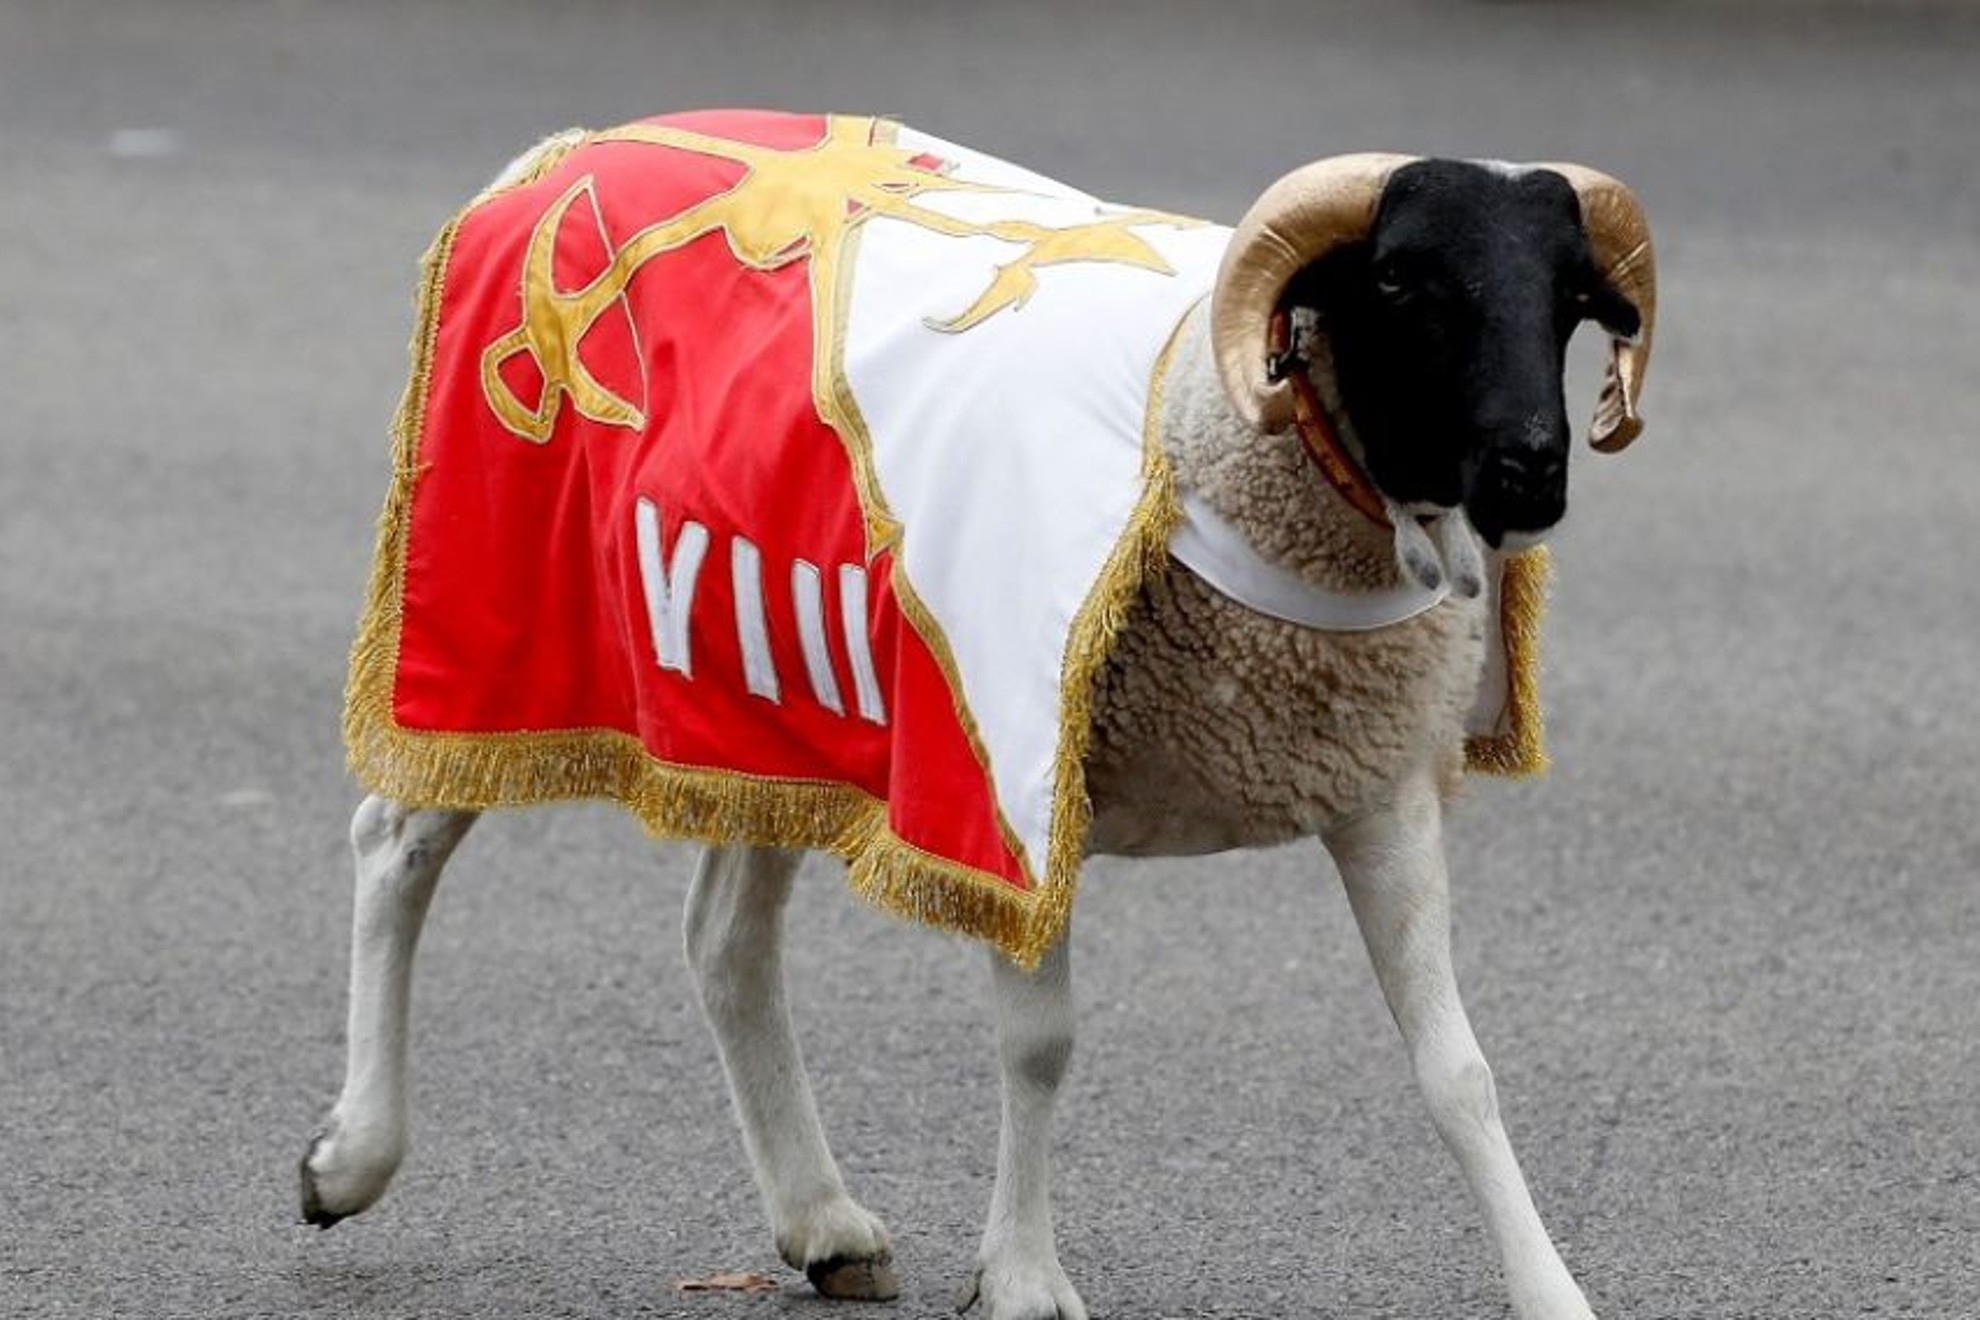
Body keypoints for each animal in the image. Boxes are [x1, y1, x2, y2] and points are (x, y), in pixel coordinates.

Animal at [299, 114, 1655, 1320]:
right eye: (1399, 279)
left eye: (1572, 298)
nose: (1532, 468)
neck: (1222, 437)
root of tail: (560, 154)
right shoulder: (1015, 780)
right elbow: (1040, 1045)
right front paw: (1025, 1281)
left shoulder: (1378, 790)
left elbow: (1458, 1070)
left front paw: (1552, 1293)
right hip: (499, 623)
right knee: (395, 841)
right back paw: (350, 1158)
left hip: (758, 698)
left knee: (724, 941)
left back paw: (824, 1224)